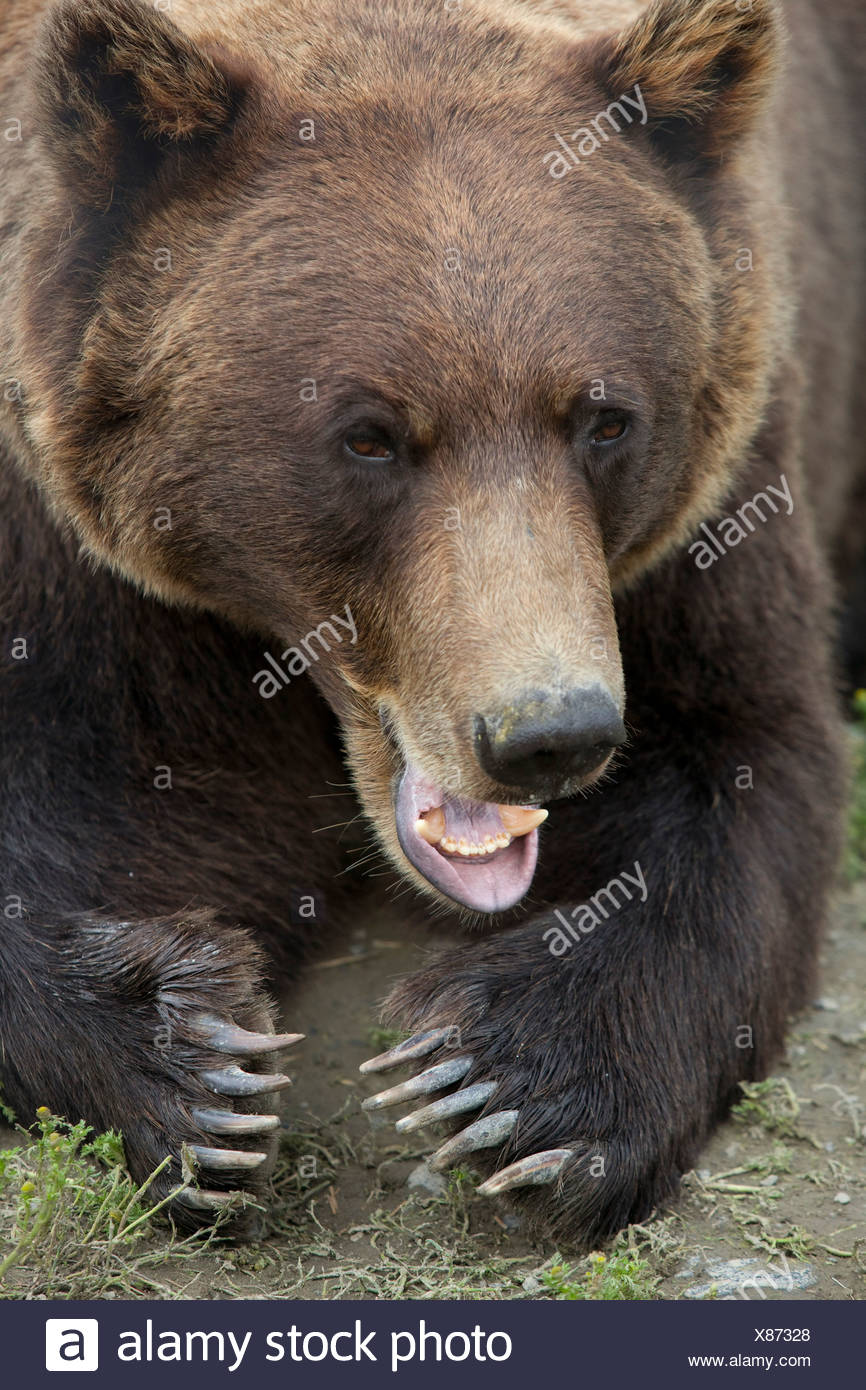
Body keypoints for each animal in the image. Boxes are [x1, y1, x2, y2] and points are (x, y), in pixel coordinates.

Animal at [1, 0, 864, 1245]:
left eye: (603, 417)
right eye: (368, 435)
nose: (549, 733)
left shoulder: (708, 513)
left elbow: (745, 754)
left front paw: (504, 1079)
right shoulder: (79, 576)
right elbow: (81, 773)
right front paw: (194, 1061)